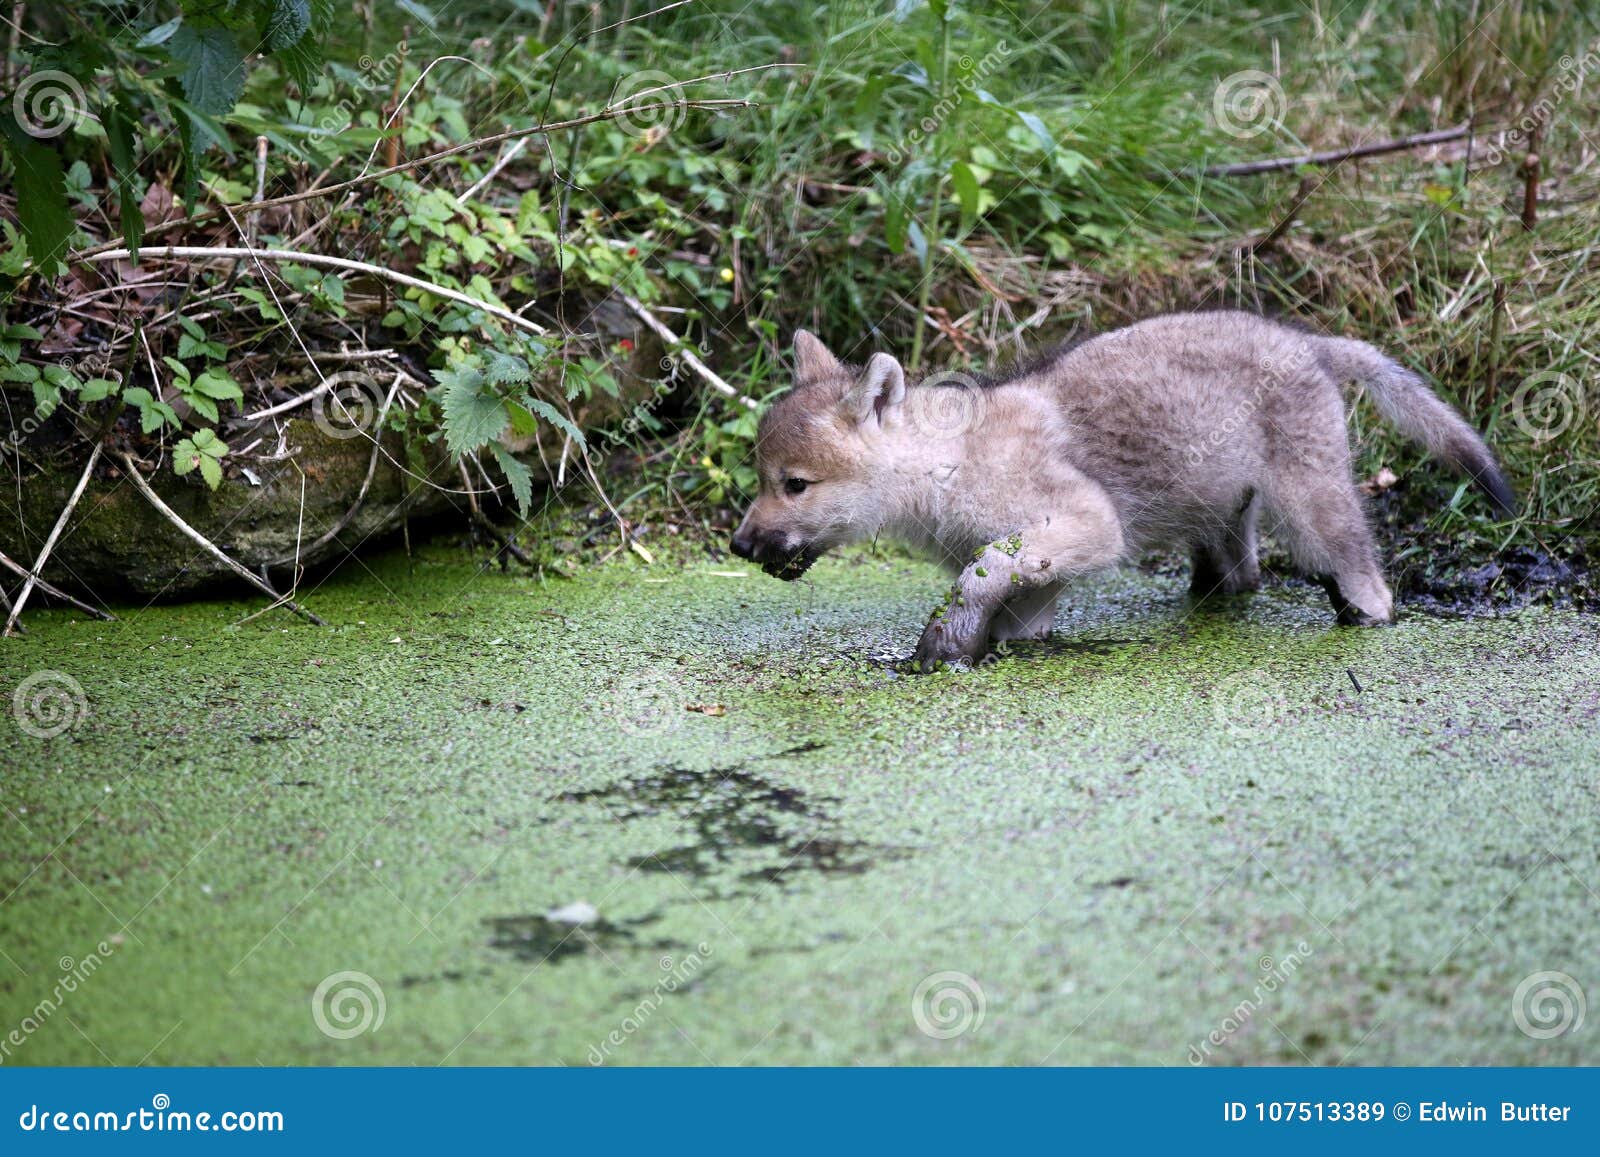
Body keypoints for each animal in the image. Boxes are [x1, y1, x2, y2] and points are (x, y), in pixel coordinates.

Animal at [730, 312, 1513, 672]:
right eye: (761, 476)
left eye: (794, 484)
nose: (738, 545)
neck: (944, 465)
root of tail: (1311, 341)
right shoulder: (1039, 585)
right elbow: (1002, 597)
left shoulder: (1088, 524)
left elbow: (981, 571)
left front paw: (942, 644)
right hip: (1222, 524)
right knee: (1240, 578)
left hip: (1315, 510)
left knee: (1370, 586)